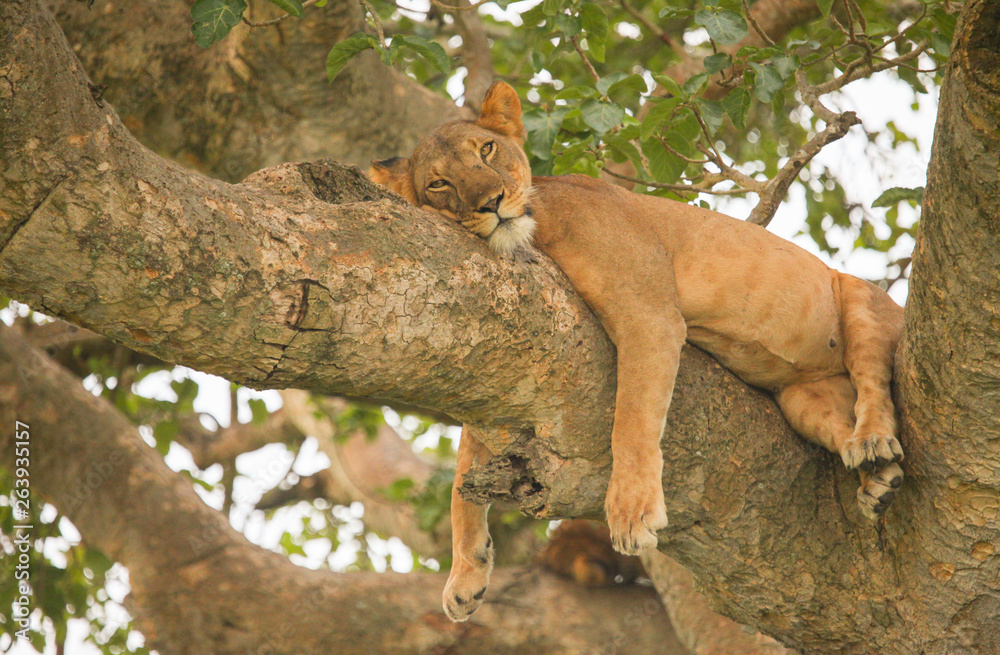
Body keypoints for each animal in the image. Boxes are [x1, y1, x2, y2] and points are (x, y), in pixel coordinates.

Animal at [370, 81, 905, 622]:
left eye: (486, 150)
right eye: (439, 183)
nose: (492, 202)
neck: (539, 225)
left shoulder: (649, 315)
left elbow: (631, 420)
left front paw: (631, 514)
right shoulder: (500, 374)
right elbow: (464, 470)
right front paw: (466, 574)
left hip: (859, 299)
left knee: (874, 383)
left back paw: (874, 442)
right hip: (801, 400)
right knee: (838, 420)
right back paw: (875, 478)